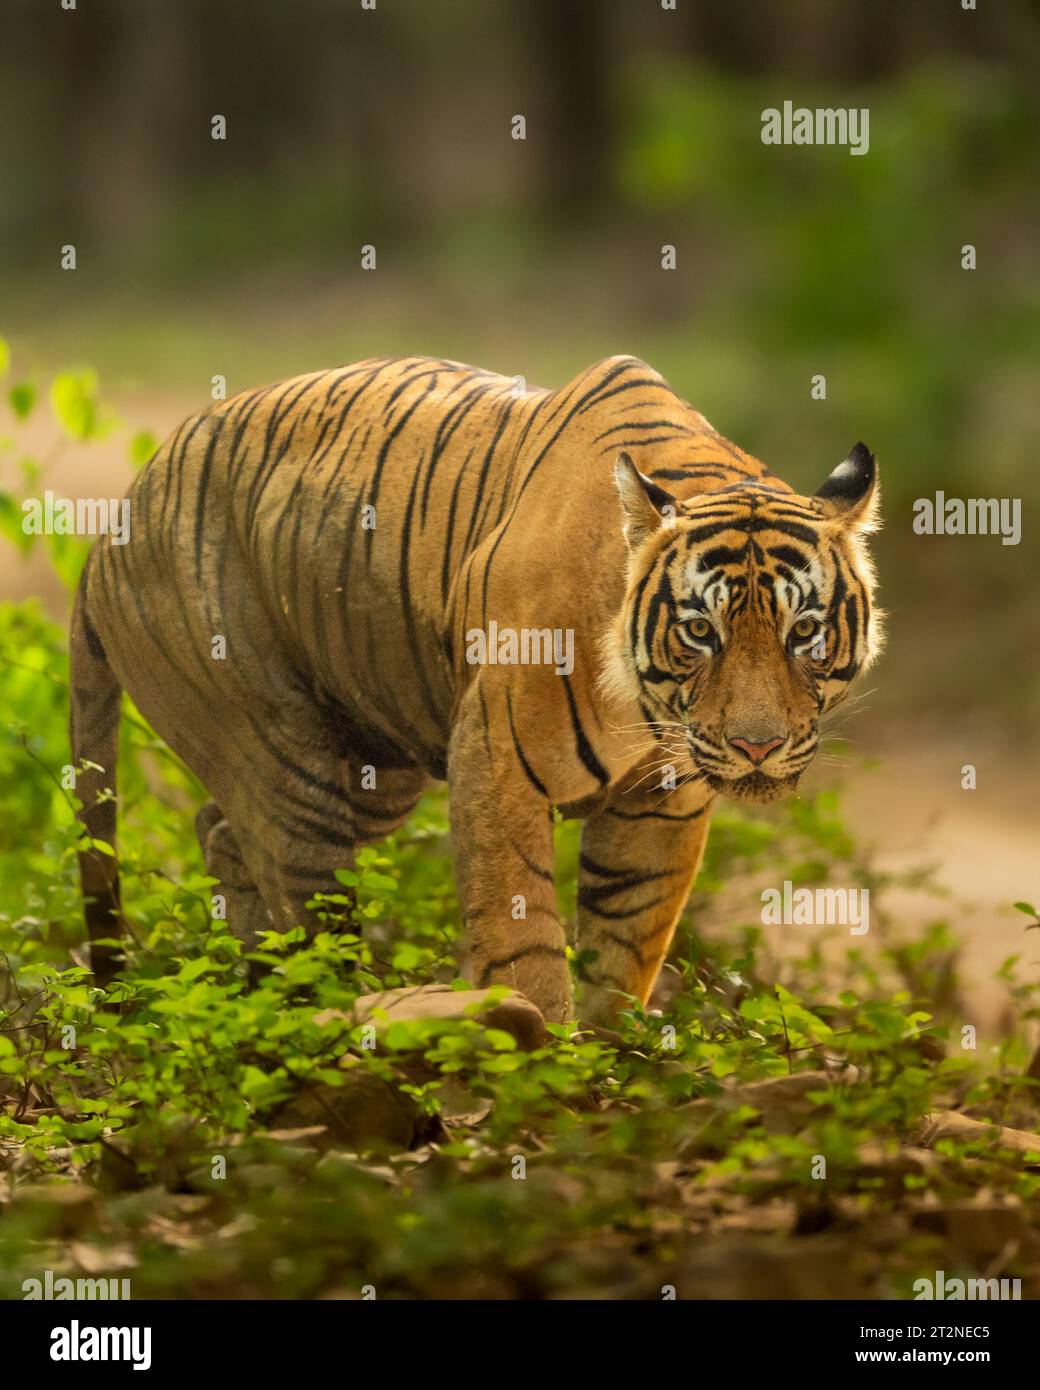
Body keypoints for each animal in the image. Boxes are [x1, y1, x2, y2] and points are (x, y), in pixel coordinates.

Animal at [69, 354, 882, 1025]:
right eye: (700, 631)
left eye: (804, 632)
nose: (756, 746)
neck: (644, 711)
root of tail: (117, 516)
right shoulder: (497, 762)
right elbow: (522, 937)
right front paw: (546, 1064)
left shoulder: (663, 800)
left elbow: (628, 942)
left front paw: (619, 1057)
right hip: (291, 763)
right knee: (302, 899)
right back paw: (312, 1014)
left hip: (375, 766)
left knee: (220, 830)